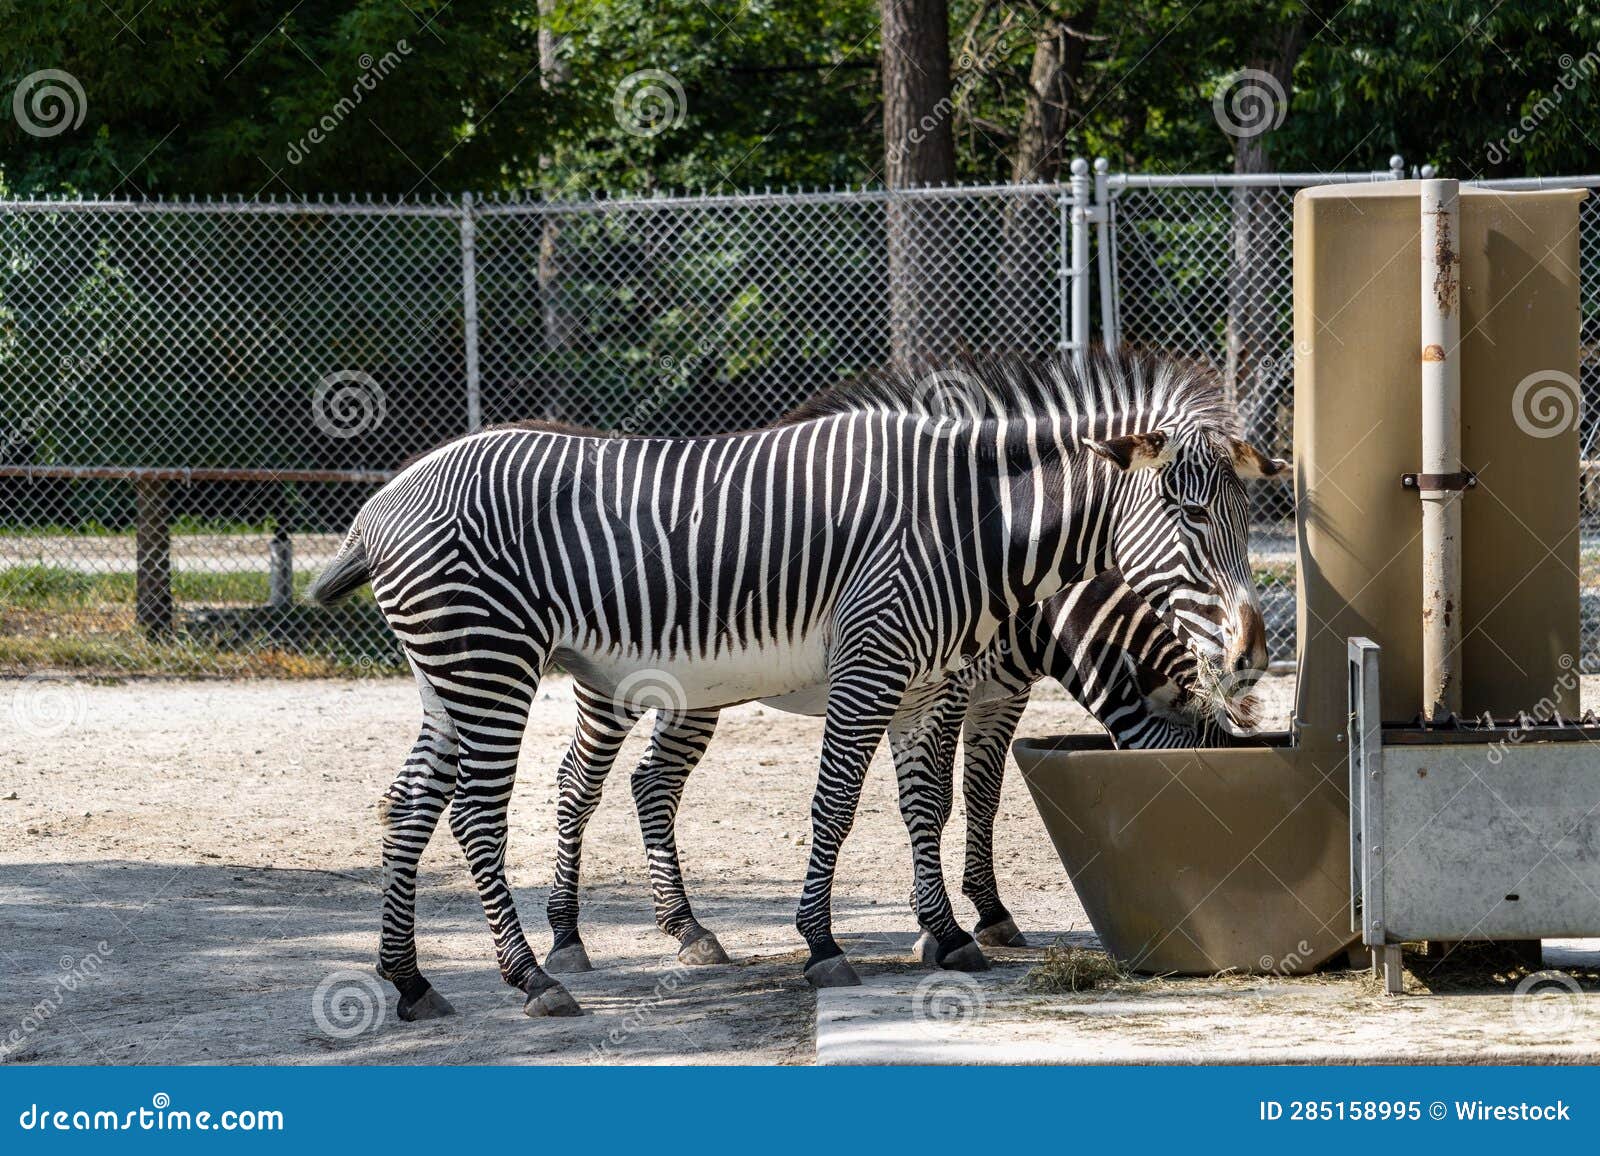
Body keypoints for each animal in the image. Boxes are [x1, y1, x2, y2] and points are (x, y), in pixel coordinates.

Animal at [308, 344, 1276, 1019]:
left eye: (1246, 513)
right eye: (1190, 512)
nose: (1251, 652)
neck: (976, 524)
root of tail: (382, 501)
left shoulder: (931, 683)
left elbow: (929, 803)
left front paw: (948, 933)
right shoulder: (879, 666)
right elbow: (843, 803)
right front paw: (824, 943)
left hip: (454, 675)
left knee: (416, 803)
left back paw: (412, 981)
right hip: (496, 663)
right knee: (496, 806)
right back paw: (538, 970)